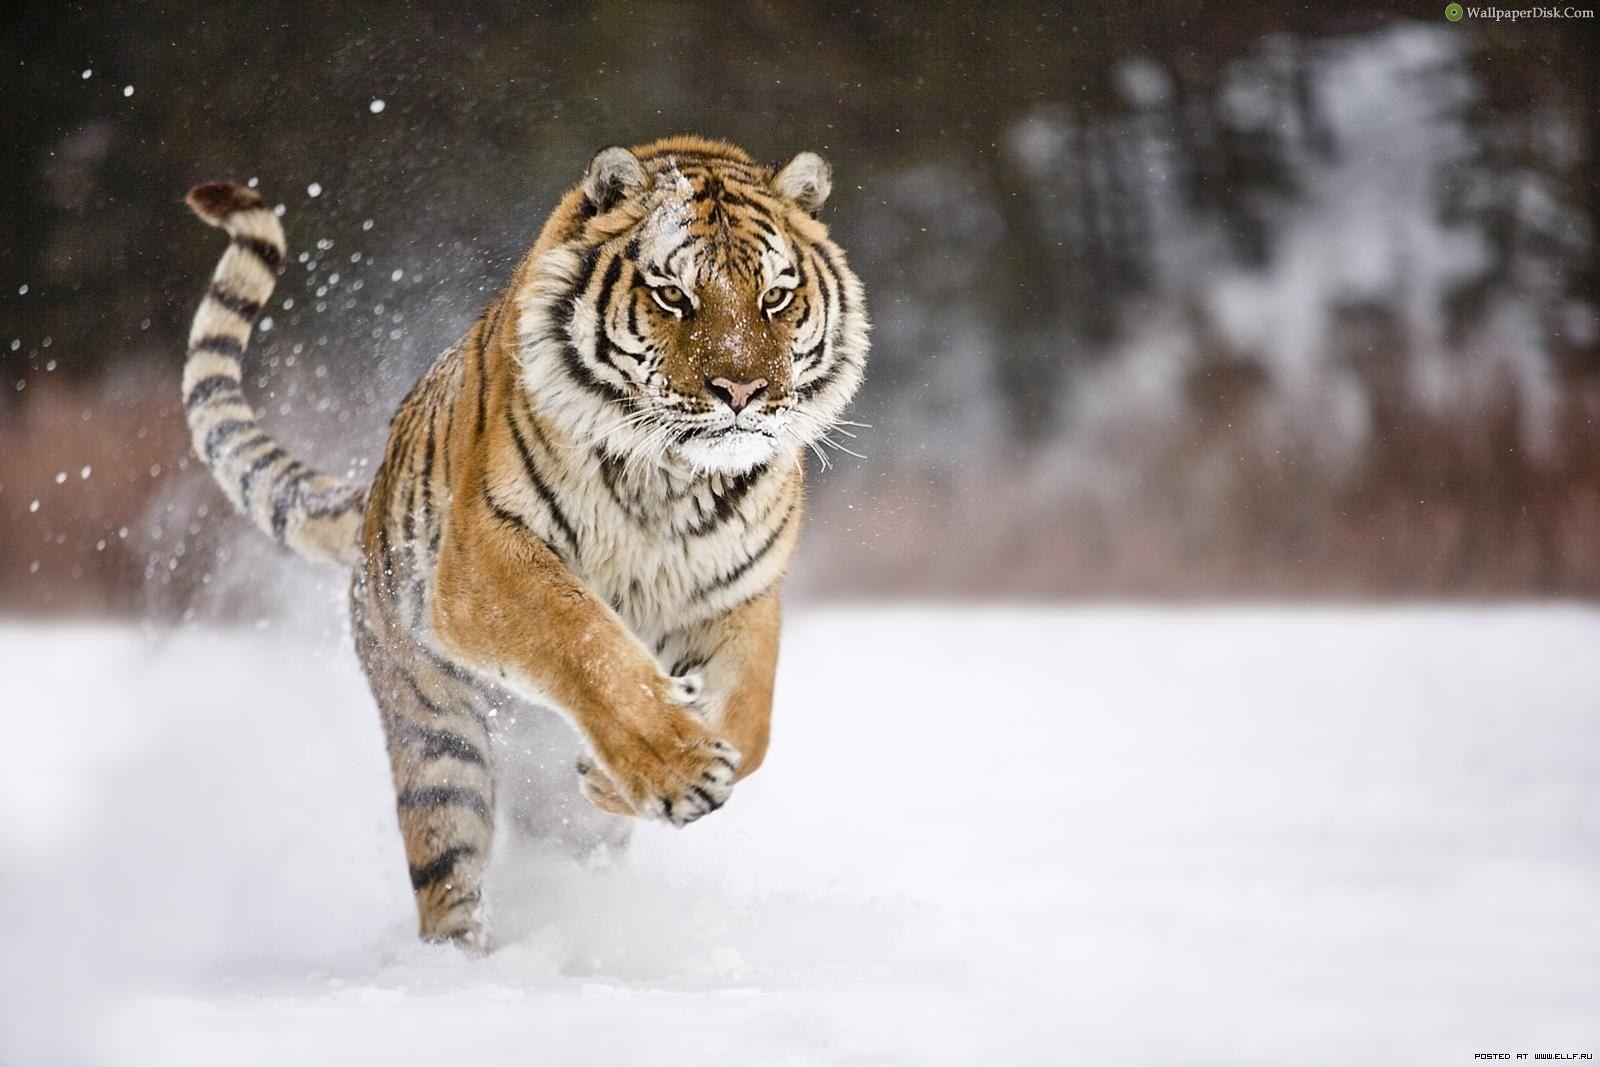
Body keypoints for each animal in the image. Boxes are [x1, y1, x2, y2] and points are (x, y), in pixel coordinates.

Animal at [179, 136, 868, 950]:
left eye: (775, 298)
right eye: (673, 296)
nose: (741, 391)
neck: (671, 478)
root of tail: (373, 491)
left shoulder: (740, 595)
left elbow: (752, 721)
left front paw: (620, 773)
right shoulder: (486, 563)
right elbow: (586, 642)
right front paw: (677, 765)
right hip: (437, 741)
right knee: (449, 871)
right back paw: (465, 962)